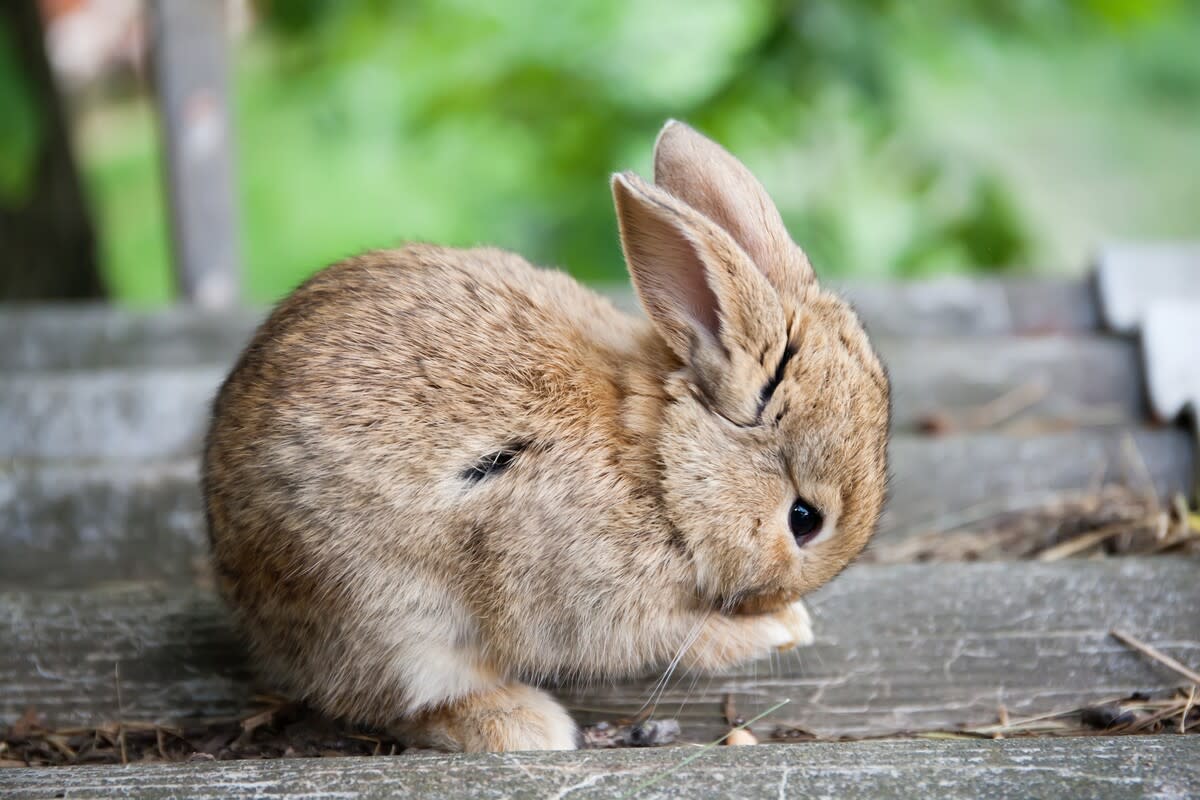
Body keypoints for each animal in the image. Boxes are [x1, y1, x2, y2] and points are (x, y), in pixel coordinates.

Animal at [203, 120, 890, 752]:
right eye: (804, 519)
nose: (777, 598)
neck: (659, 467)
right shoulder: (591, 601)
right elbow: (676, 637)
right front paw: (778, 631)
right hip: (391, 624)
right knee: (394, 699)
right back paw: (522, 724)